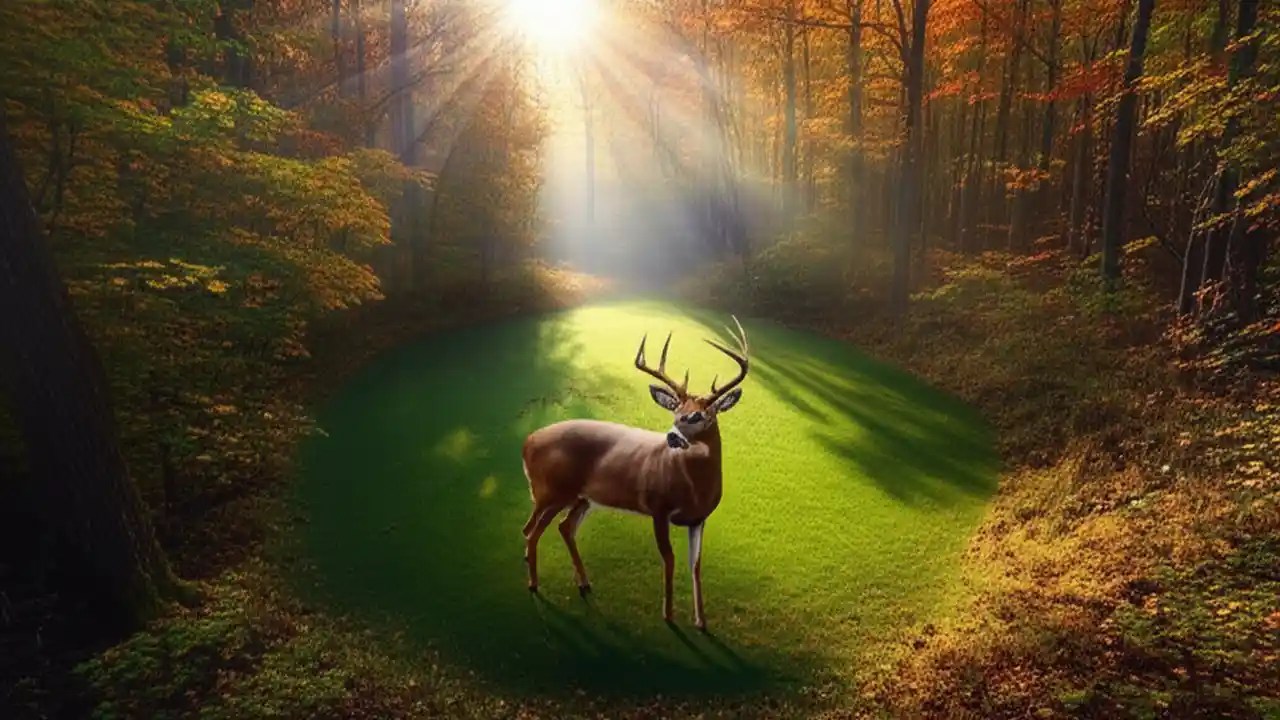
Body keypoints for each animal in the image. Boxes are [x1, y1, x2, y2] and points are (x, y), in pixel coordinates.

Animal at [520, 316, 750, 631]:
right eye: (675, 412)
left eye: (698, 415)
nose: (672, 437)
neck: (695, 488)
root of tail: (527, 442)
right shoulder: (658, 507)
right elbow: (669, 558)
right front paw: (668, 616)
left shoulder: (699, 519)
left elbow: (695, 564)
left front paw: (701, 621)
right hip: (554, 491)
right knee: (532, 532)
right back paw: (534, 584)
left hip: (581, 498)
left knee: (562, 528)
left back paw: (584, 583)